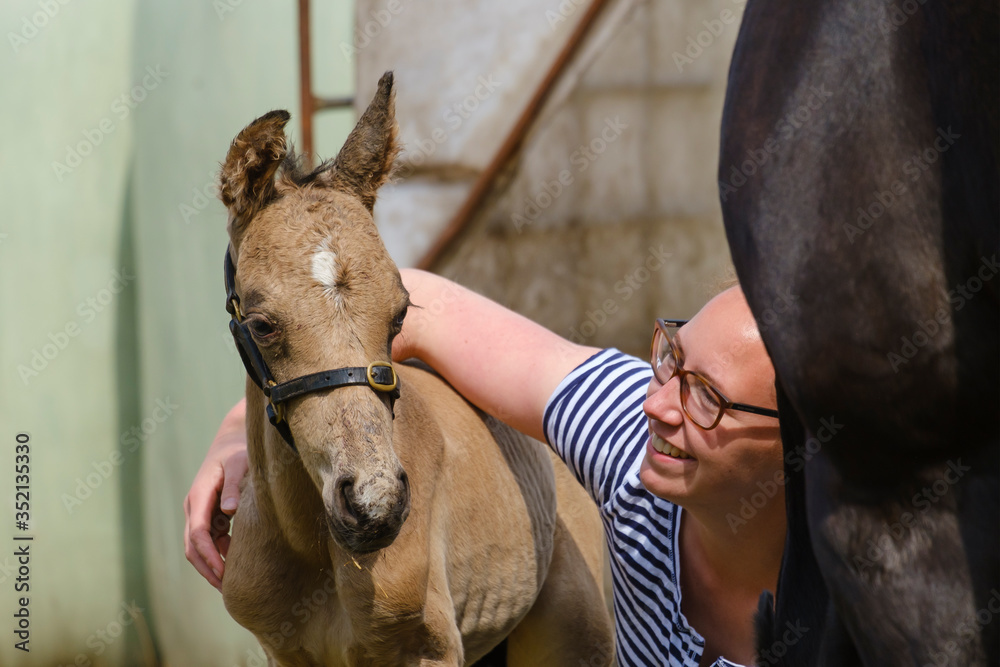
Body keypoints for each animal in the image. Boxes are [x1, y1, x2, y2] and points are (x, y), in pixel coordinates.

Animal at [215, 72, 613, 666]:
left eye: (401, 313)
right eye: (262, 324)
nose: (374, 504)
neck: (311, 547)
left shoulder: (426, 649)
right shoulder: (282, 654)